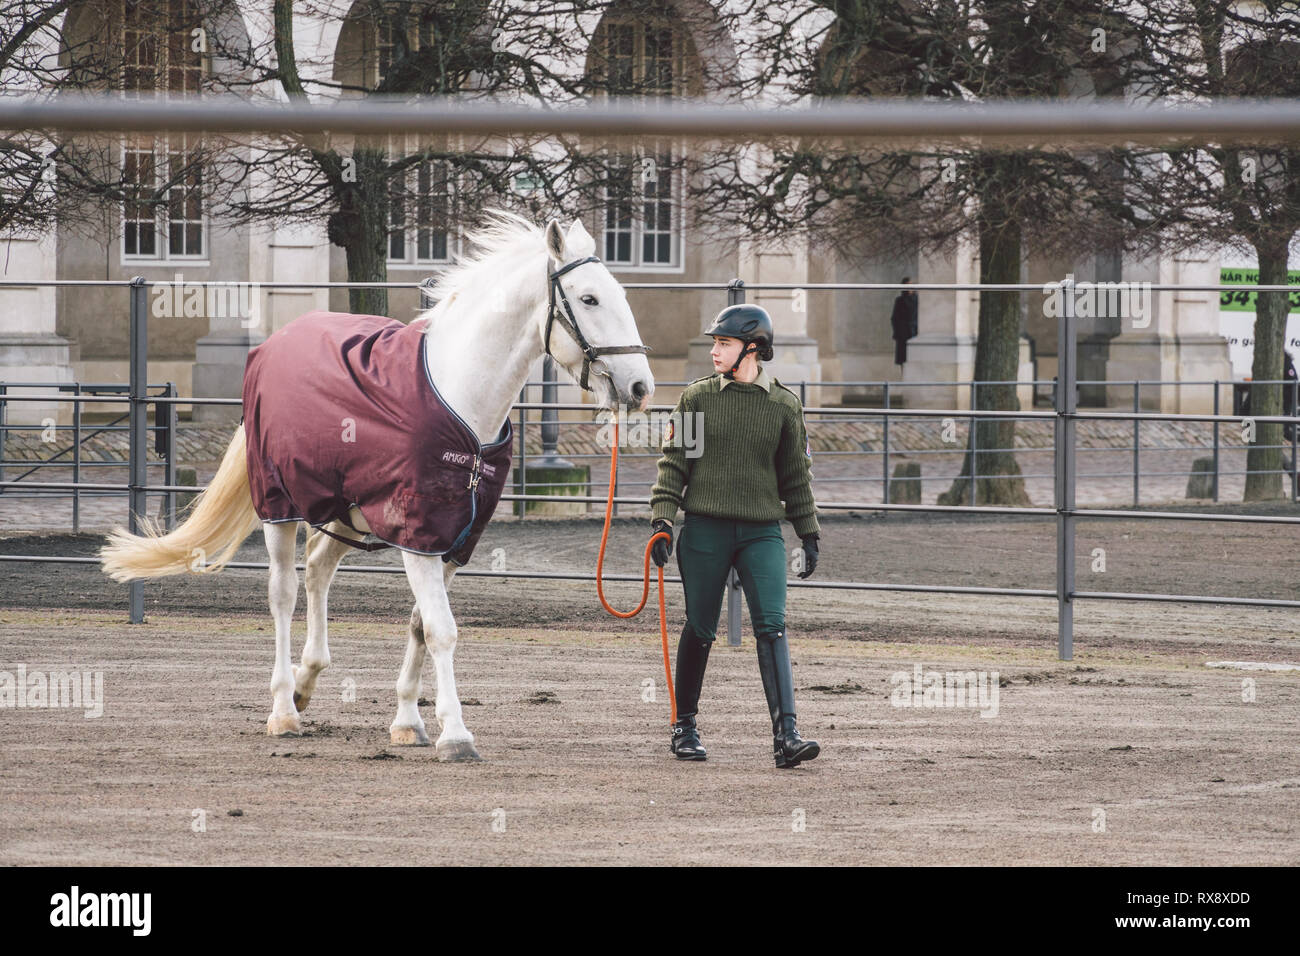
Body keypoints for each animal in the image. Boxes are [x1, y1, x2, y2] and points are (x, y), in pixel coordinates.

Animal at [100, 211, 655, 761]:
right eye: (589, 298)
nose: (640, 387)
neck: (460, 401)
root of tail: (274, 344)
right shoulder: (418, 536)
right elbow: (441, 630)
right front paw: (456, 734)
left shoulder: (453, 540)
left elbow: (419, 624)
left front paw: (409, 722)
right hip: (280, 505)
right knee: (282, 594)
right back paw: (283, 709)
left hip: (345, 511)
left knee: (318, 569)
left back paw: (306, 683)